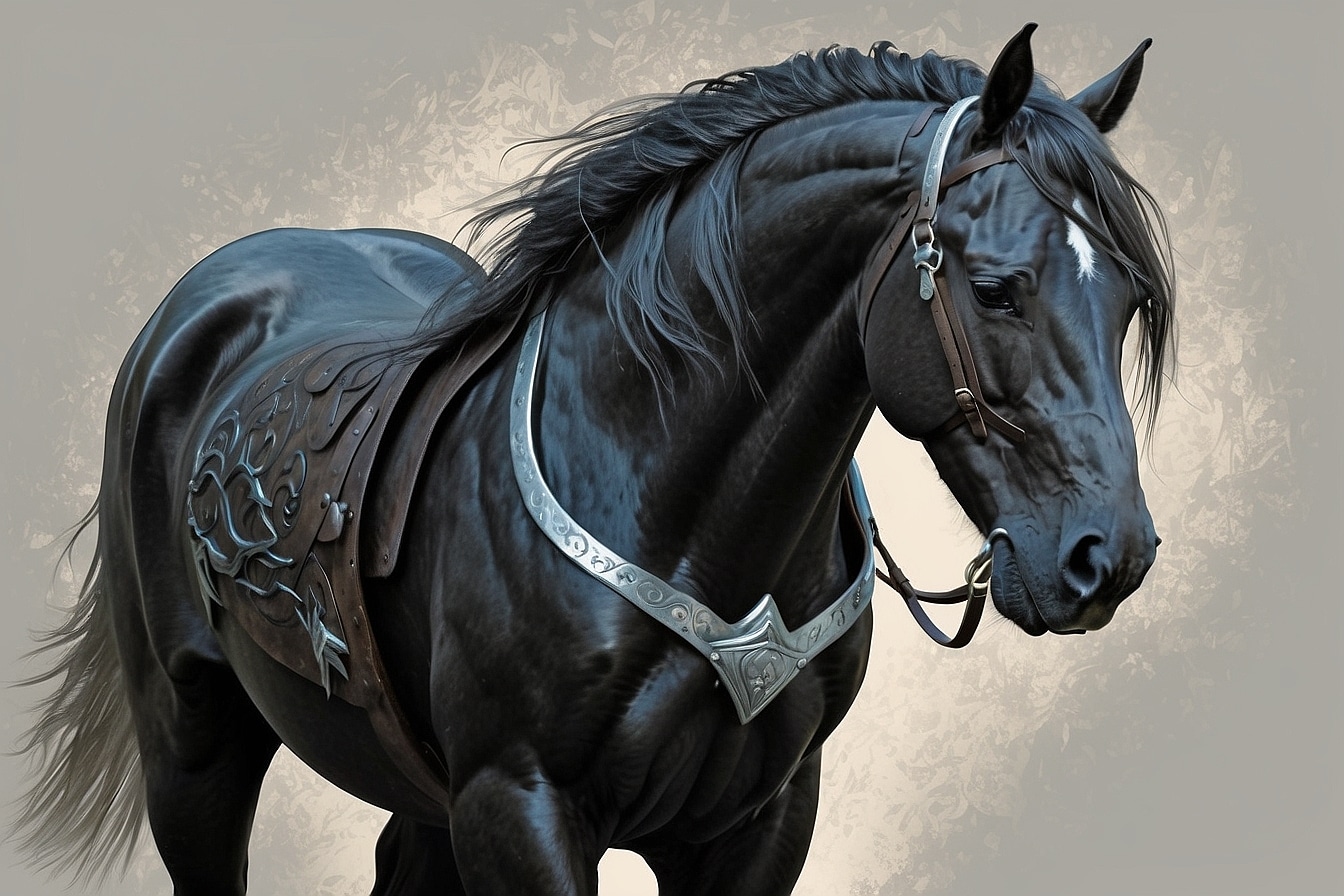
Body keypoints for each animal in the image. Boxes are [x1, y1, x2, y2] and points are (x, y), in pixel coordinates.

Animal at [15, 23, 1173, 895]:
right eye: (994, 288)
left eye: (1124, 300)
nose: (1105, 557)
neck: (672, 496)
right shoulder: (520, 808)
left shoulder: (760, 822)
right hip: (193, 737)